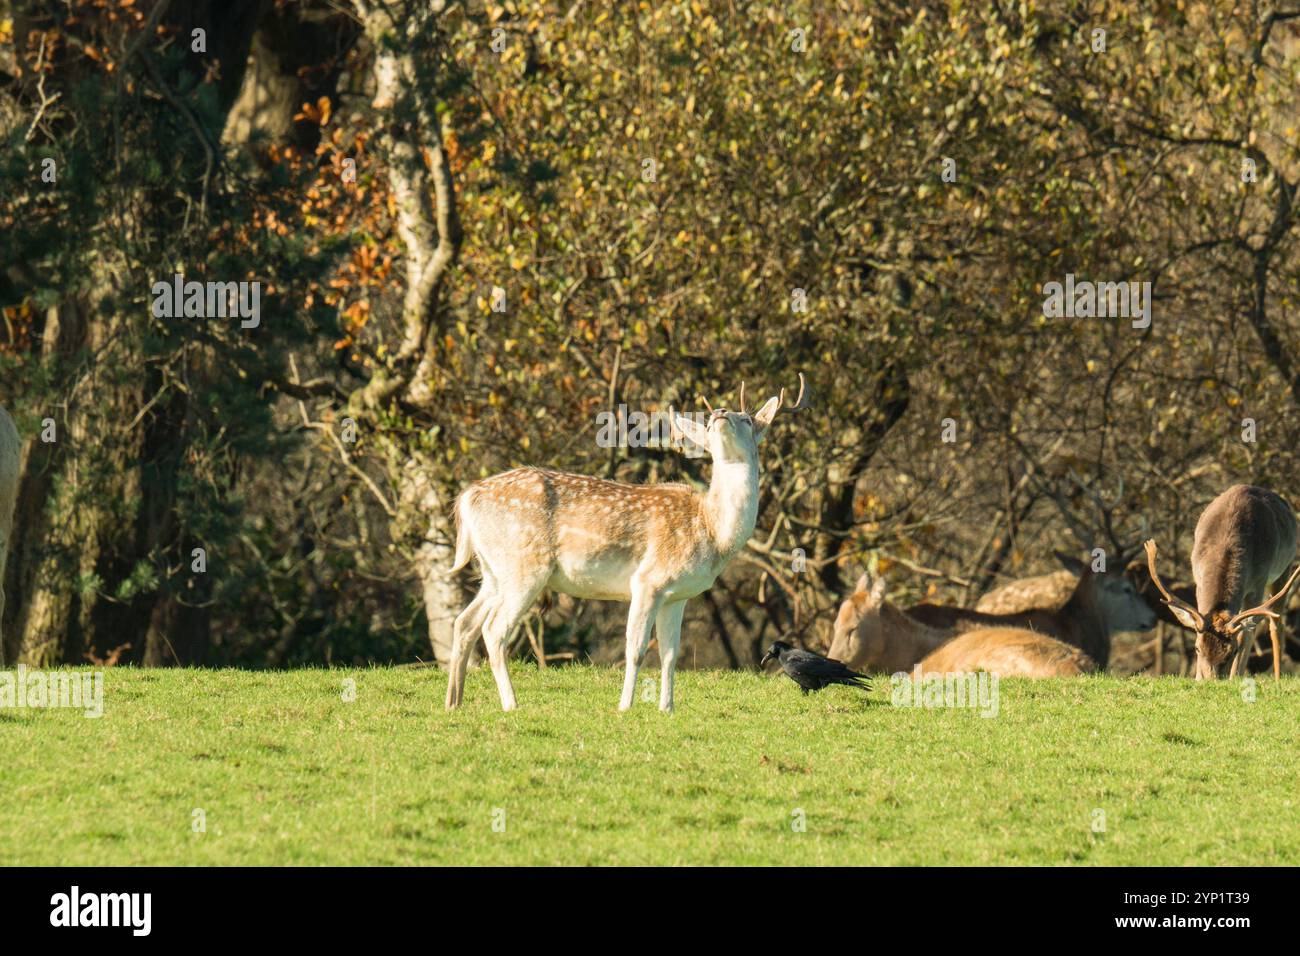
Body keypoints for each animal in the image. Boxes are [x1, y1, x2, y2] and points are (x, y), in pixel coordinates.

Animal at [444, 374, 808, 712]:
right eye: (708, 421)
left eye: (746, 419)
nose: (718, 414)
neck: (712, 530)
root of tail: (467, 498)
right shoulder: (648, 579)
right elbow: (635, 648)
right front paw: (625, 706)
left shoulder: (678, 595)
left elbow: (670, 653)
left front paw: (667, 708)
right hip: (525, 566)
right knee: (493, 629)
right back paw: (511, 704)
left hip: (493, 571)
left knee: (464, 621)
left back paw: (454, 702)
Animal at [1144, 484, 1300, 681]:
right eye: (1197, 648)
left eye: (1233, 652)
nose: (1211, 681)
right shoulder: (1198, 580)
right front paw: (1197, 678)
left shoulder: (1258, 582)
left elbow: (1247, 633)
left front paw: (1235, 677)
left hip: (1285, 568)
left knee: (1276, 623)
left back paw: (1276, 678)